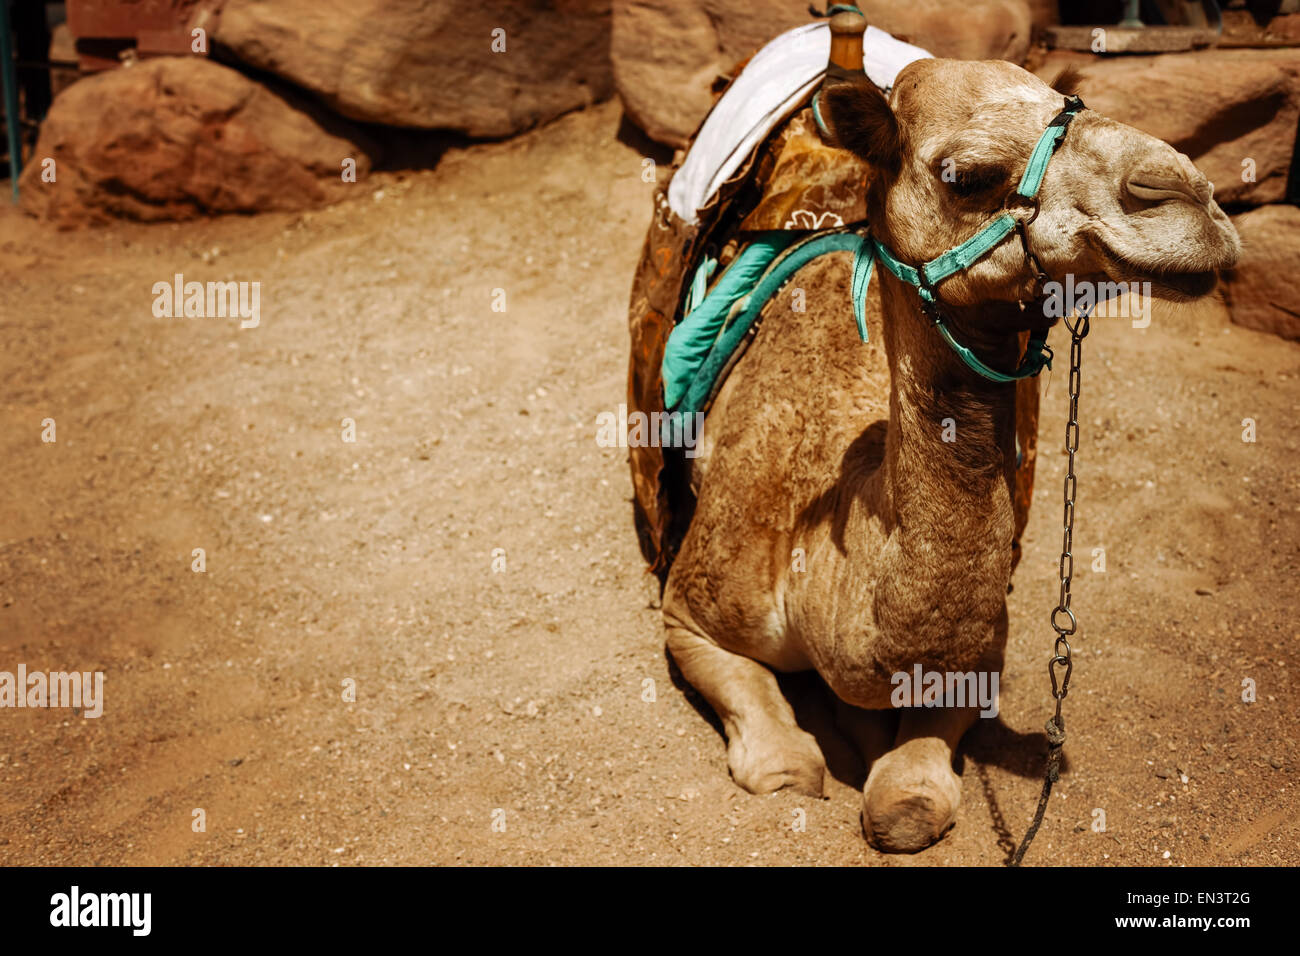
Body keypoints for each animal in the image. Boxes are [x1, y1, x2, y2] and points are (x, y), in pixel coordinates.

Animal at [660, 58, 1241, 852]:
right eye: (966, 175)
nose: (1190, 195)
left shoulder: (983, 648)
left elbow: (908, 803)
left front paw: (876, 740)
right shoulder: (690, 612)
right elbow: (784, 769)